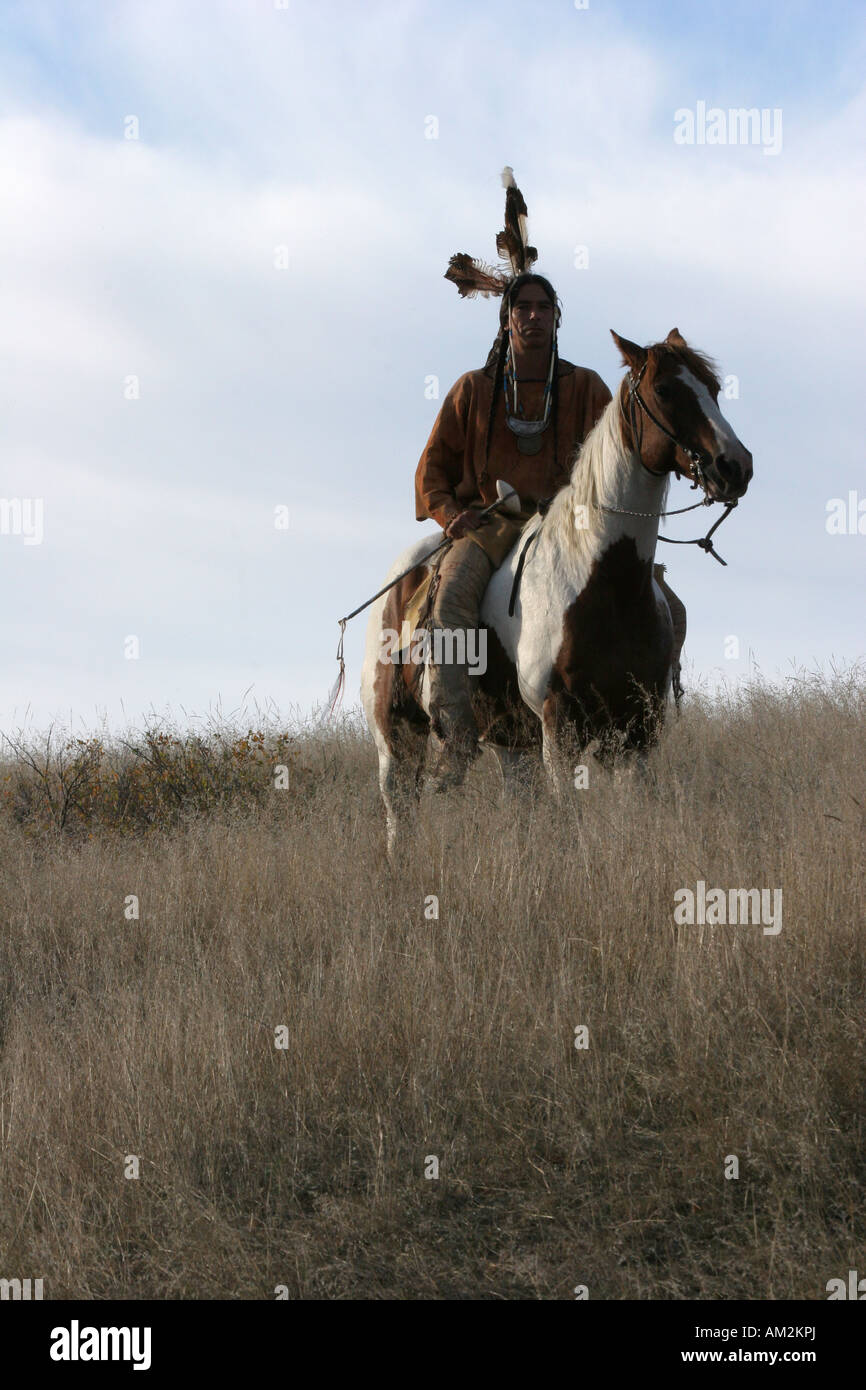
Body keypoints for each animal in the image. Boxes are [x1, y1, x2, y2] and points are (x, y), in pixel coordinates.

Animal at [361, 328, 753, 853]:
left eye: (714, 388)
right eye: (666, 390)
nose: (735, 466)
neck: (602, 580)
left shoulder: (638, 728)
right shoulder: (558, 720)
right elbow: (568, 816)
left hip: (511, 740)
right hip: (397, 732)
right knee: (398, 807)